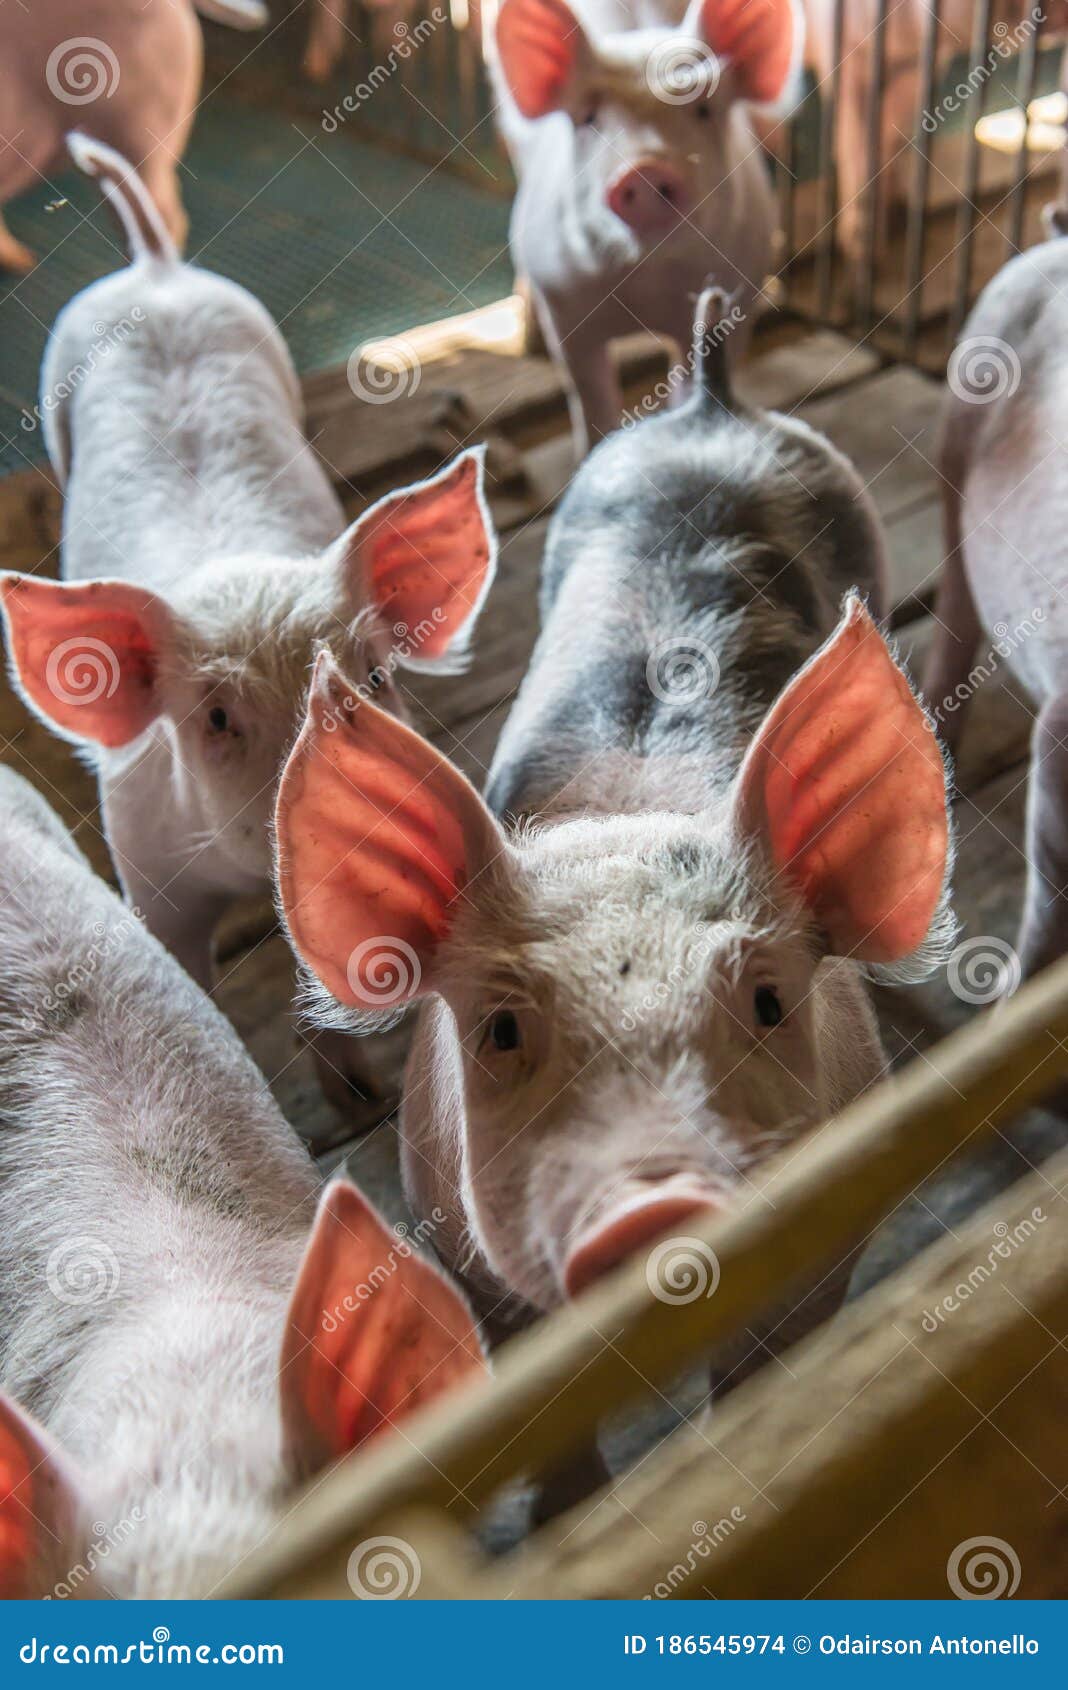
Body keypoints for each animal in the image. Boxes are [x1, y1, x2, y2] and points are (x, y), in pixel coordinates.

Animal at [486, 0, 803, 455]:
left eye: (703, 109)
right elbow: (590, 397)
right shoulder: (562, 304)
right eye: (588, 117)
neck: (646, 285)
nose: (645, 168)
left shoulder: (742, 285)